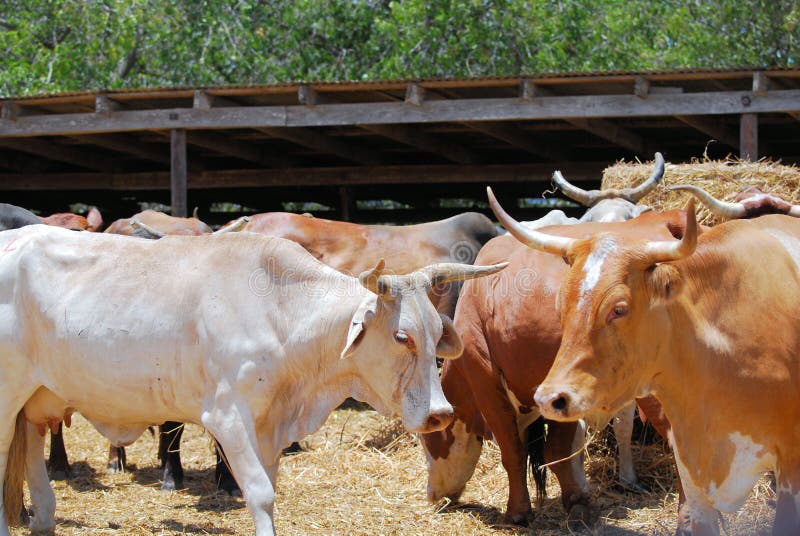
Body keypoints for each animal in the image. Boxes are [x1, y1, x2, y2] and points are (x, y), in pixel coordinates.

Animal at [0, 225, 507, 535]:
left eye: (438, 333)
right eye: (402, 336)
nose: (440, 414)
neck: (279, 311)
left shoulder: (269, 424)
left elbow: (267, 488)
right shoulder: (226, 417)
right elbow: (260, 493)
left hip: (34, 398)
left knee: (30, 454)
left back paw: (42, 518)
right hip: (7, 395)